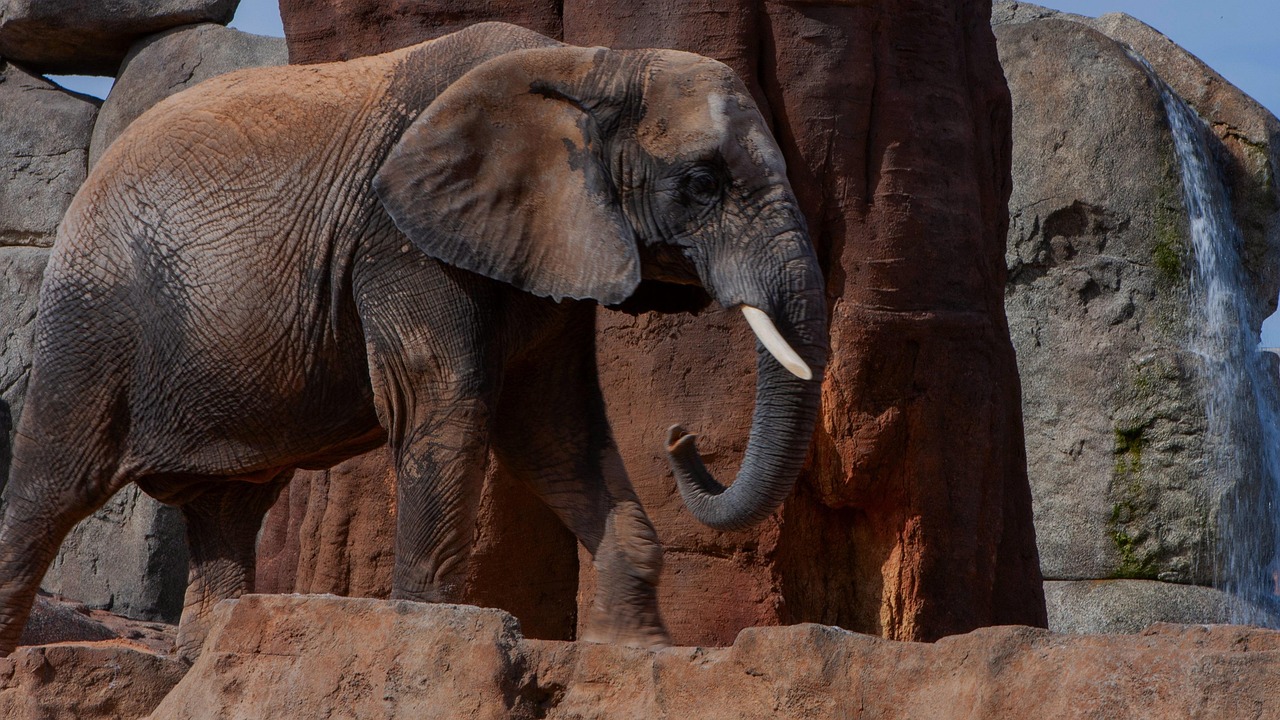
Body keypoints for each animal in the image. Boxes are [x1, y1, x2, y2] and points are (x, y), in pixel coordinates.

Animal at [0, 21, 827, 660]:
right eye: (701, 184)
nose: (681, 438)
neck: (585, 62)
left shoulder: (546, 250)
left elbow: (554, 429)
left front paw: (644, 652)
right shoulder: (398, 240)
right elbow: (447, 402)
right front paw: (431, 639)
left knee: (226, 511)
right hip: (95, 313)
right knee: (51, 487)